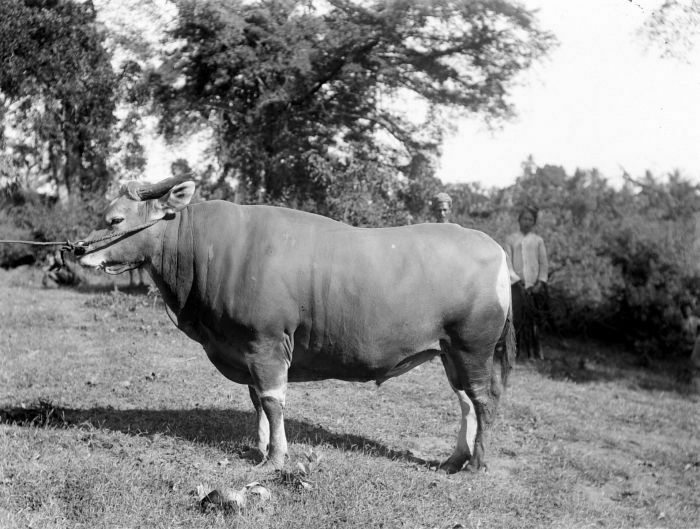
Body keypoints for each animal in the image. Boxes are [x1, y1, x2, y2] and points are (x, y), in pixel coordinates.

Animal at [78, 176, 516, 473]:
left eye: (114, 219)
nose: (80, 251)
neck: (206, 249)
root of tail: (494, 250)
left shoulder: (267, 344)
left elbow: (272, 401)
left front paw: (275, 458)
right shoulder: (247, 349)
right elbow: (256, 400)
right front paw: (259, 447)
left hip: (473, 347)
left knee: (483, 400)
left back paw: (476, 465)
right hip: (449, 351)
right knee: (464, 402)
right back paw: (454, 458)